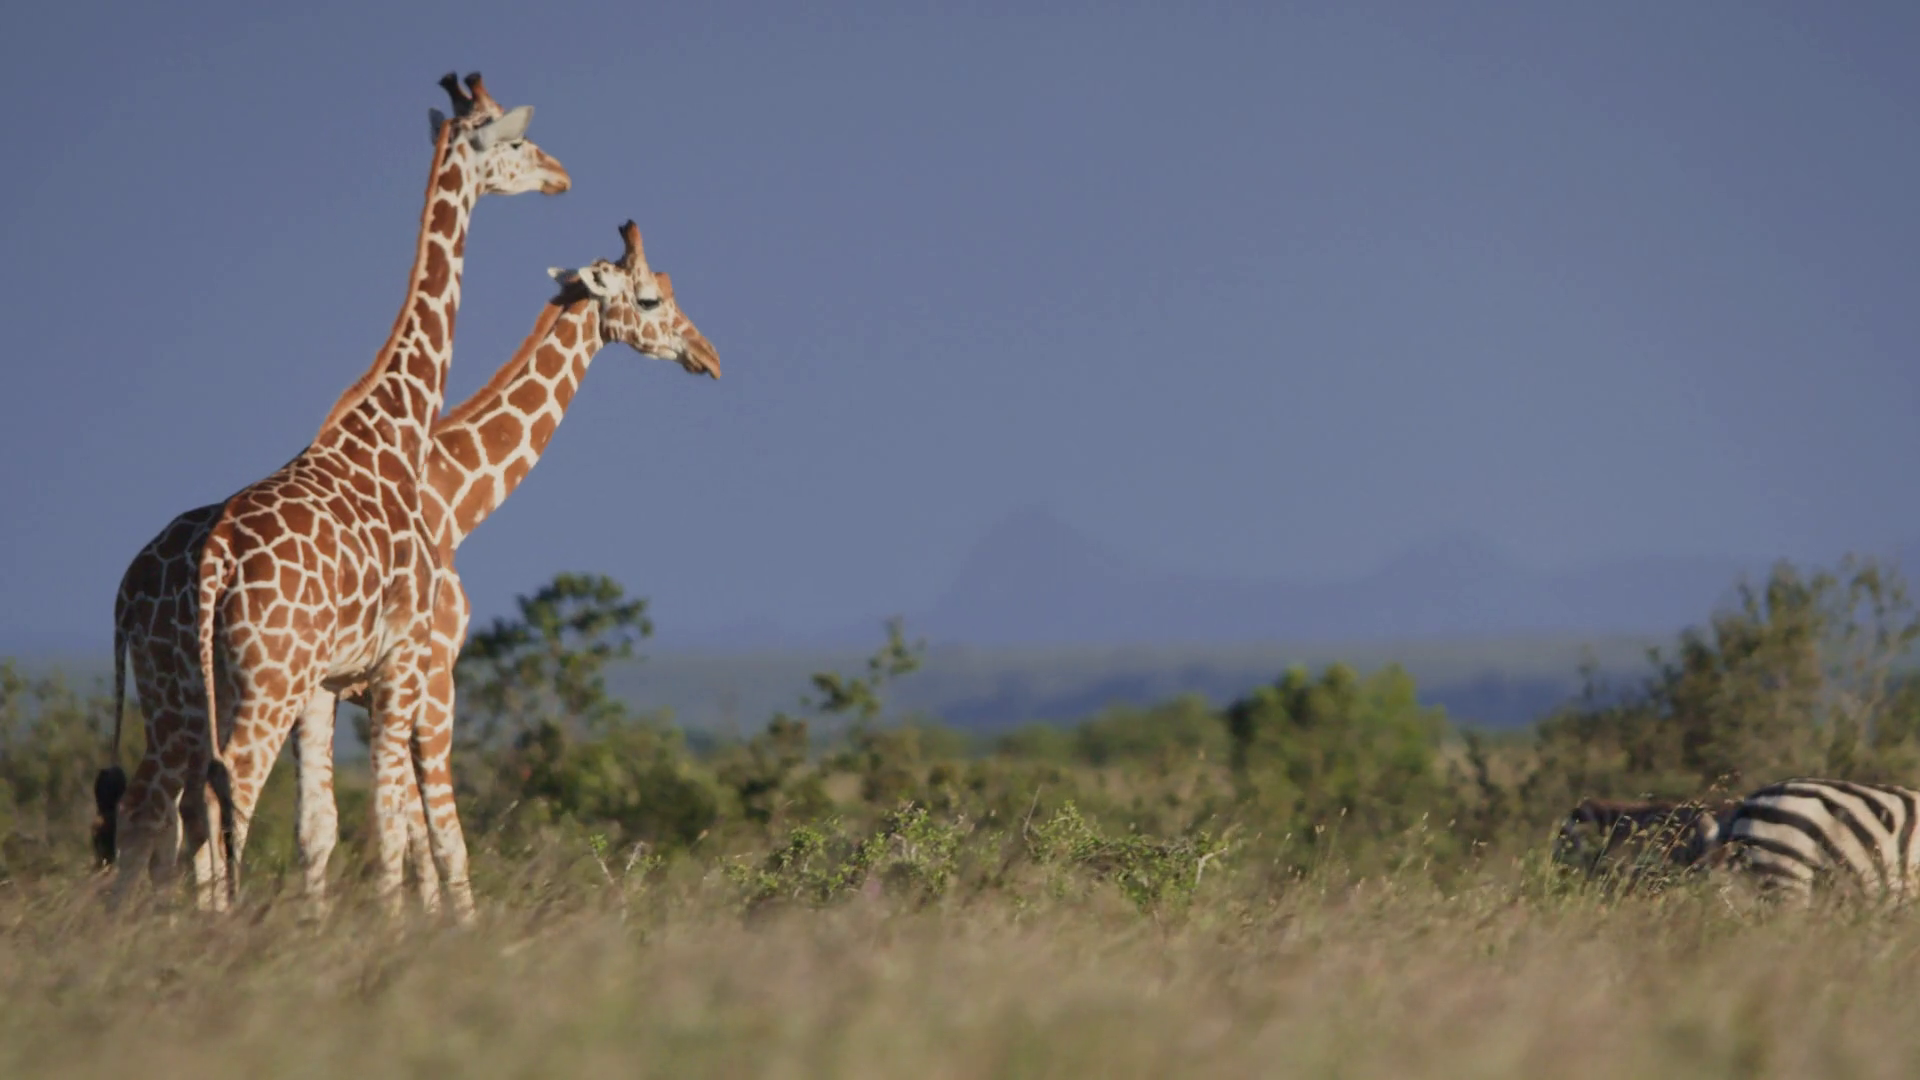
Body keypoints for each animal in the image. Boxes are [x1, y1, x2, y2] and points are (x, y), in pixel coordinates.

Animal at [99, 72, 571, 914]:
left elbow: (335, 824)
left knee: (163, 805)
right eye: (515, 139)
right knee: (222, 793)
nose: (560, 174)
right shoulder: (401, 659)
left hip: (187, 687)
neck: (398, 421)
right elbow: (390, 825)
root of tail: (210, 561)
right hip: (264, 680)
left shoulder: (339, 677)